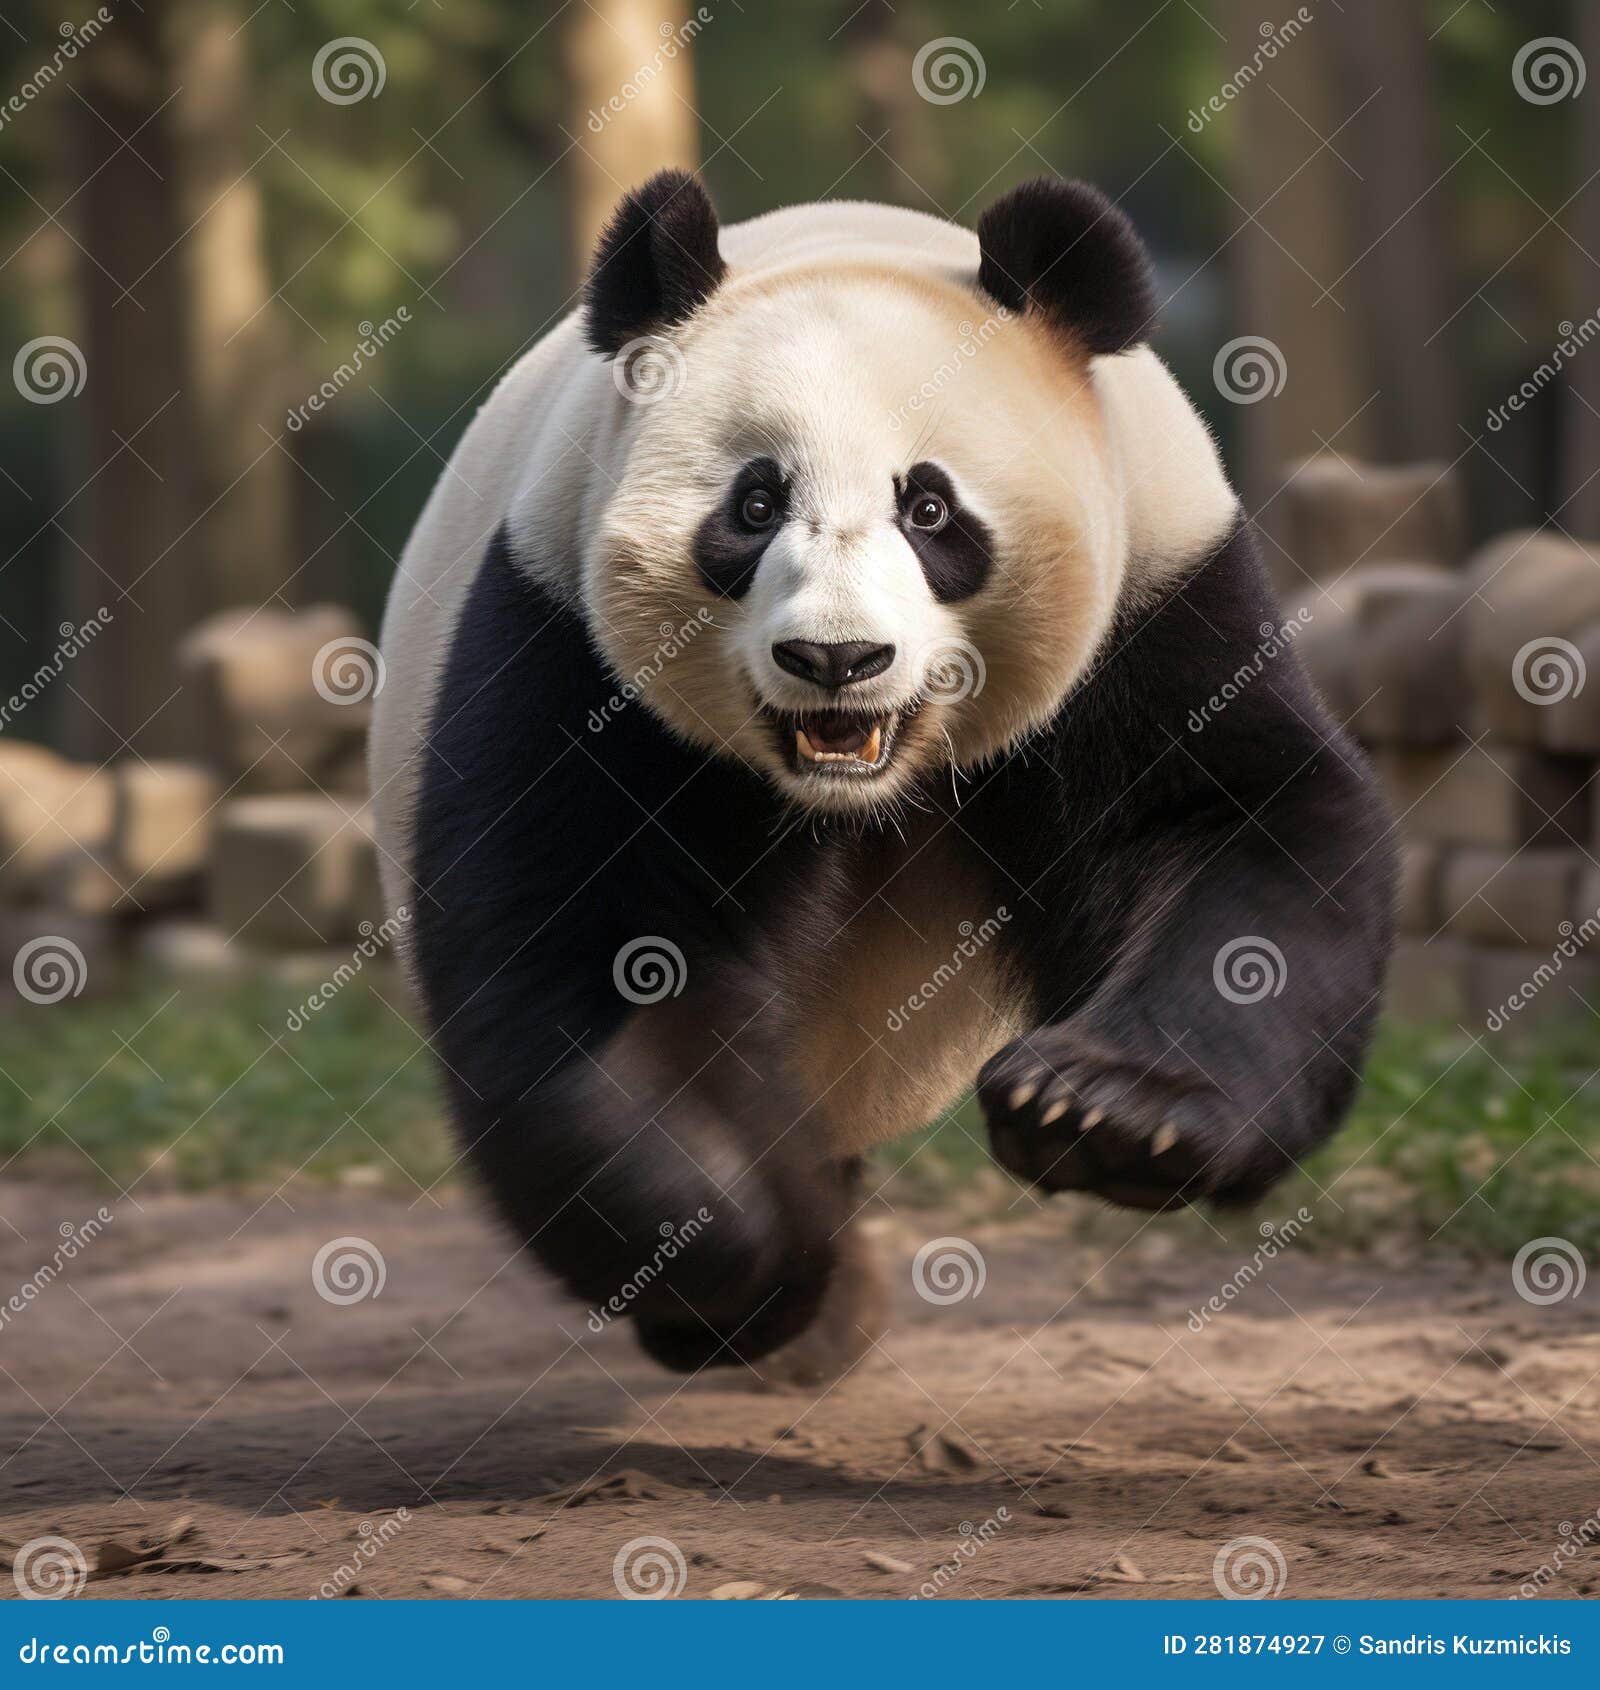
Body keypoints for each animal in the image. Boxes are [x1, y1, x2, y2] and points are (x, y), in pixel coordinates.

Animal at [370, 170, 1396, 1385]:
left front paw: (1102, 1114)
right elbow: (591, 935)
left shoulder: (1155, 586)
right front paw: (748, 1235)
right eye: (753, 505)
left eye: (931, 507)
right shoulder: (565, 628)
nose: (836, 658)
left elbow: (1228, 832)